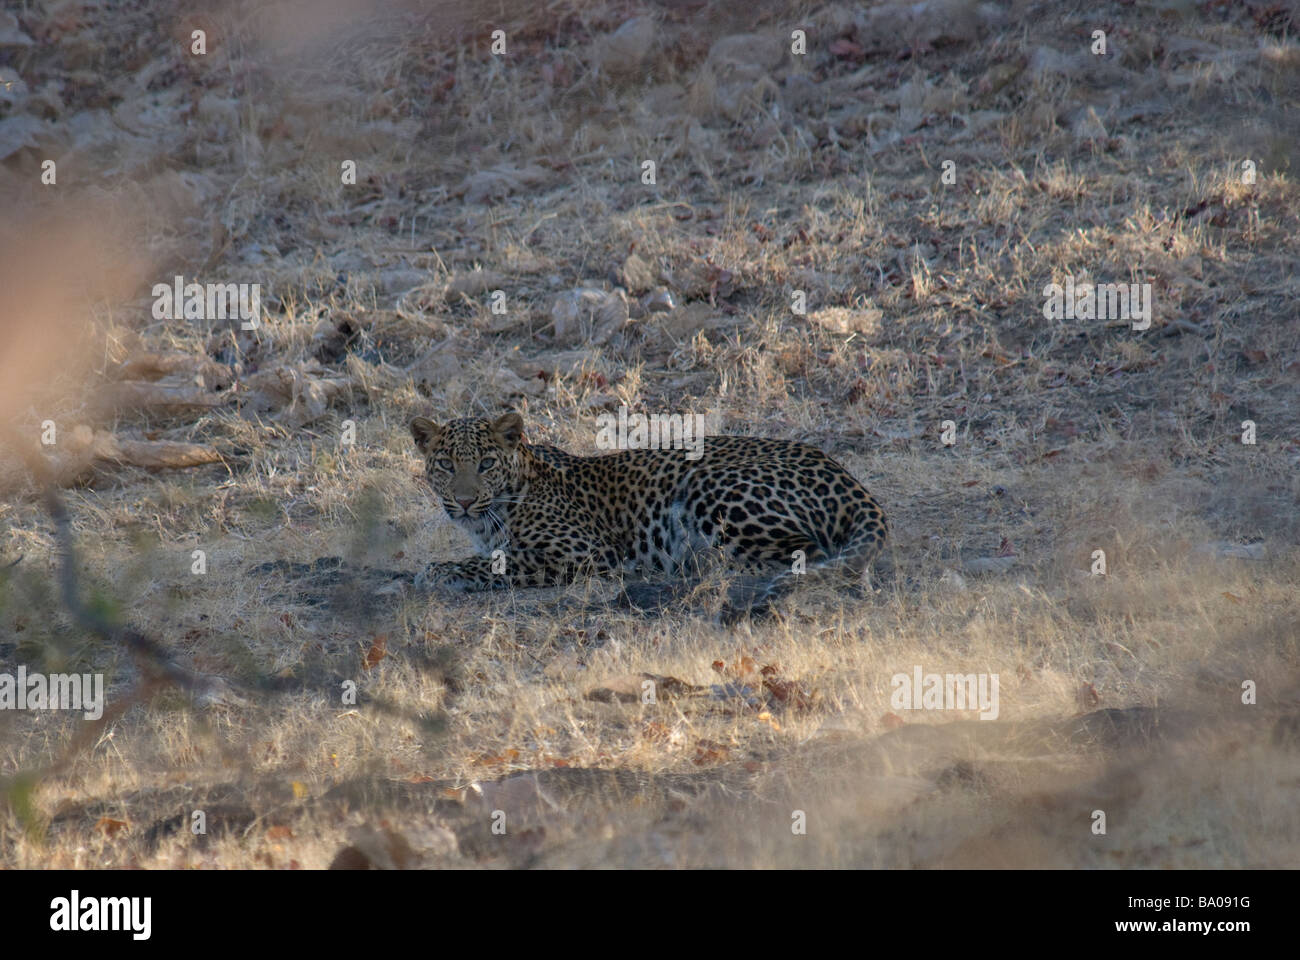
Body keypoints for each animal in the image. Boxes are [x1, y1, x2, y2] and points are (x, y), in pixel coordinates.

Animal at [409, 412, 888, 619]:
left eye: (486, 463)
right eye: (446, 464)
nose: (464, 501)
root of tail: (844, 474)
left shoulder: (583, 551)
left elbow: (496, 561)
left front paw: (439, 570)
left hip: (708, 484)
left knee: (807, 557)